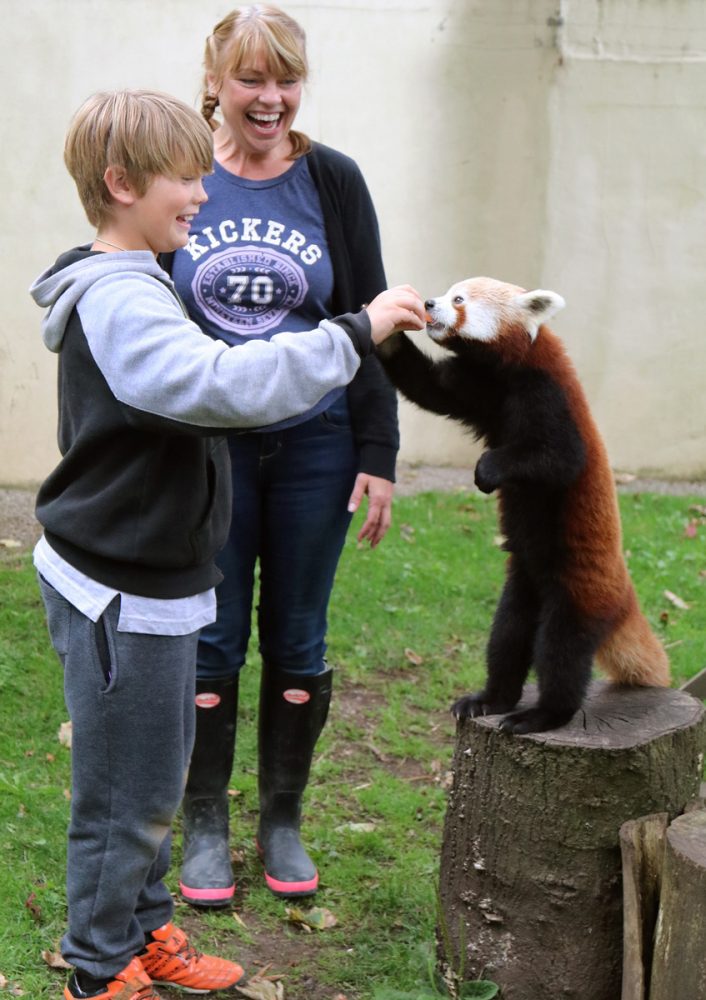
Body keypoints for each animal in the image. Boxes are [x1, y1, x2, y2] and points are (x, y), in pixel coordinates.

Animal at [377, 276, 670, 734]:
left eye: (458, 299)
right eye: (447, 292)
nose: (427, 303)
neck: (507, 371)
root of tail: (625, 595)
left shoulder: (548, 397)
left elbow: (559, 458)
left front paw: (488, 469)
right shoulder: (479, 390)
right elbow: (429, 388)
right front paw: (386, 323)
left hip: (578, 594)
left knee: (560, 653)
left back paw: (542, 714)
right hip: (521, 585)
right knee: (508, 637)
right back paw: (490, 699)